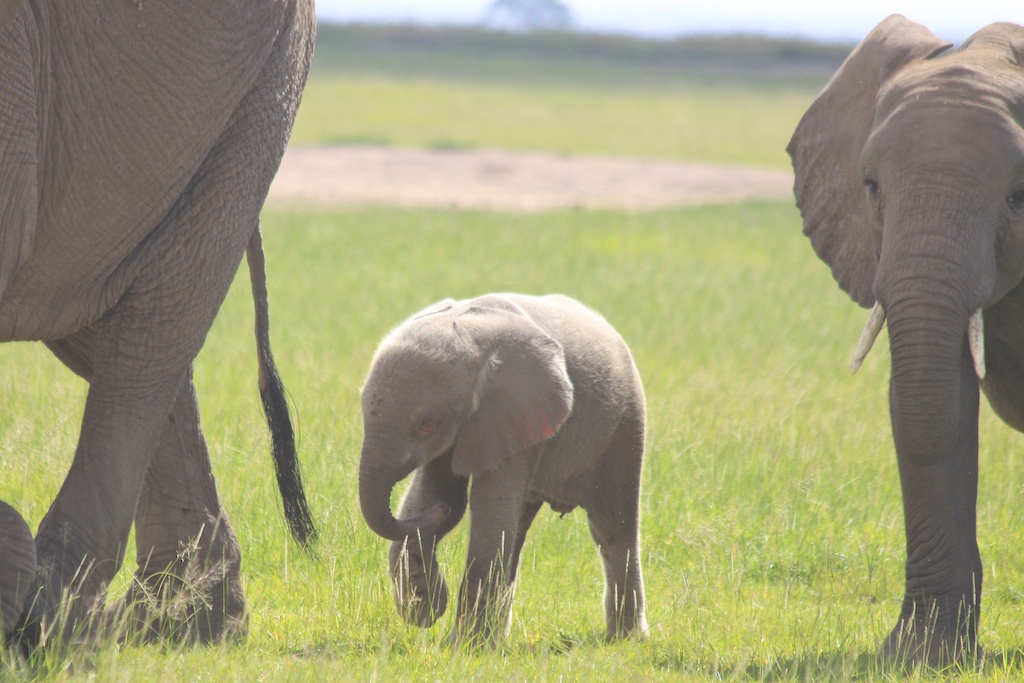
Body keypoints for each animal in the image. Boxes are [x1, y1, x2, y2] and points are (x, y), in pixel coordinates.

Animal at [358, 293, 648, 644]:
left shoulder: (513, 409)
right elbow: (434, 493)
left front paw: (462, 646)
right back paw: (498, 639)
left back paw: (627, 639)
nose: (442, 514)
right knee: (519, 529)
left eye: (428, 424)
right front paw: (427, 608)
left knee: (612, 526)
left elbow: (486, 506)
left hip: (625, 422)